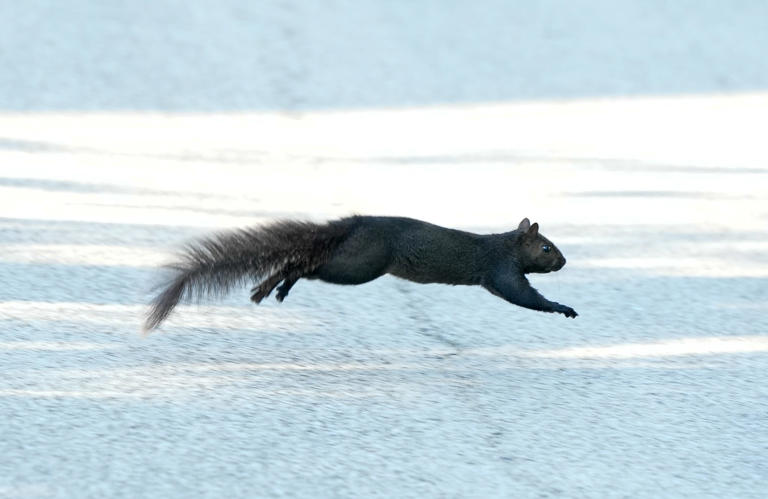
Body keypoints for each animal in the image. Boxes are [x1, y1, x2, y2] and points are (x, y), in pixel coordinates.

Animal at [144, 216, 577, 331]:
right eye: (546, 248)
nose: (564, 262)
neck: (506, 244)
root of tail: (352, 223)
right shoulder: (500, 270)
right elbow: (522, 295)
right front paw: (564, 308)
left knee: (304, 266)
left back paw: (277, 288)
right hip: (359, 264)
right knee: (304, 263)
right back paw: (272, 285)